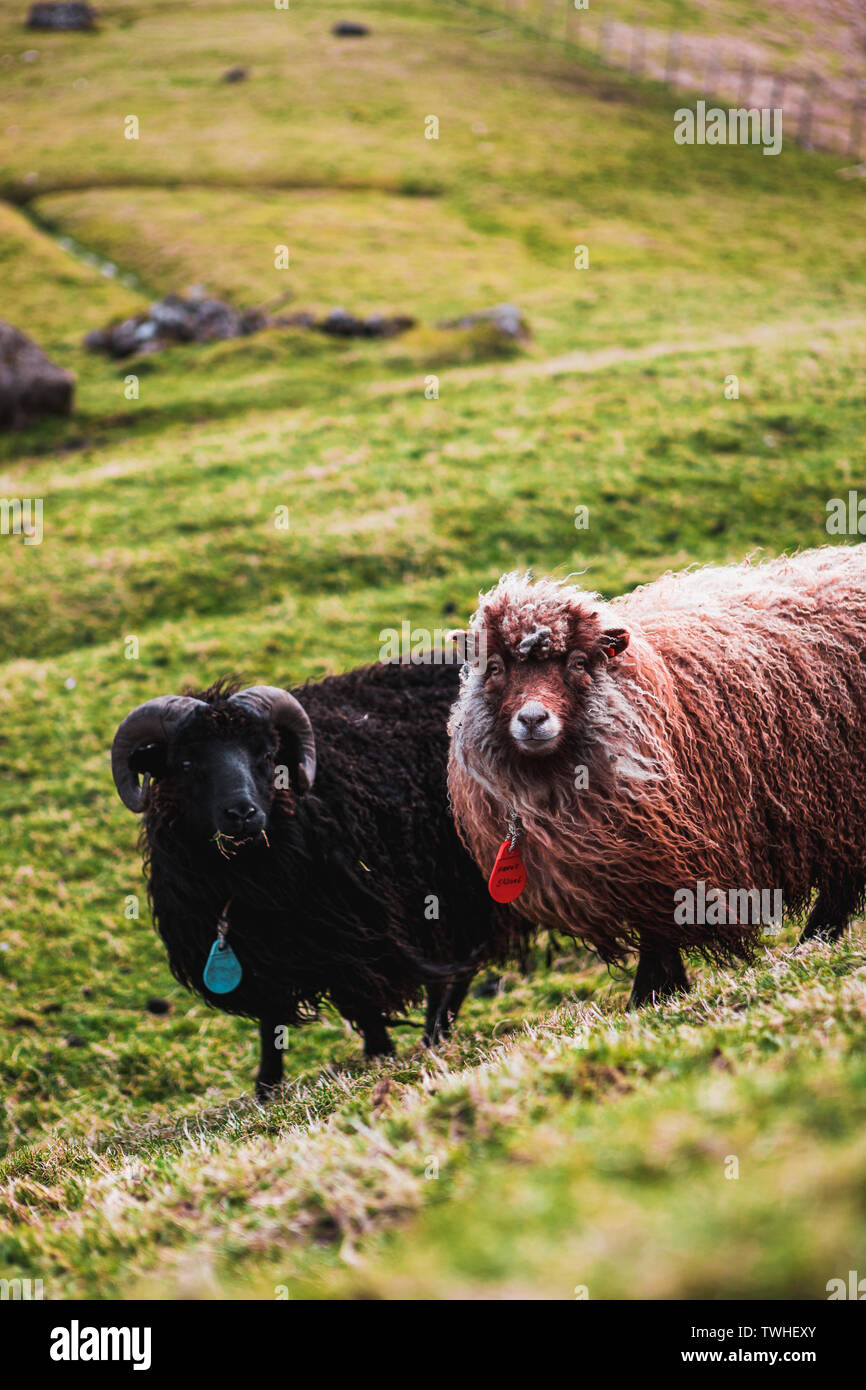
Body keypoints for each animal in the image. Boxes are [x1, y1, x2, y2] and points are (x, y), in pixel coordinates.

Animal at [111, 664, 523, 1097]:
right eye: (187, 763)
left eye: (267, 755)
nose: (242, 814)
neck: (243, 875)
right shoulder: (258, 950)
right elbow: (270, 1019)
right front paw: (267, 1088)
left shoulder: (353, 929)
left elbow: (360, 997)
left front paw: (379, 1055)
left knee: (465, 963)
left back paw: (434, 1034)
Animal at [447, 546, 866, 1006]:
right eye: (496, 668)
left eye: (578, 662)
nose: (533, 719)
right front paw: (655, 993)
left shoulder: (667, 854)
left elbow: (658, 931)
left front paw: (649, 995)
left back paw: (814, 939)